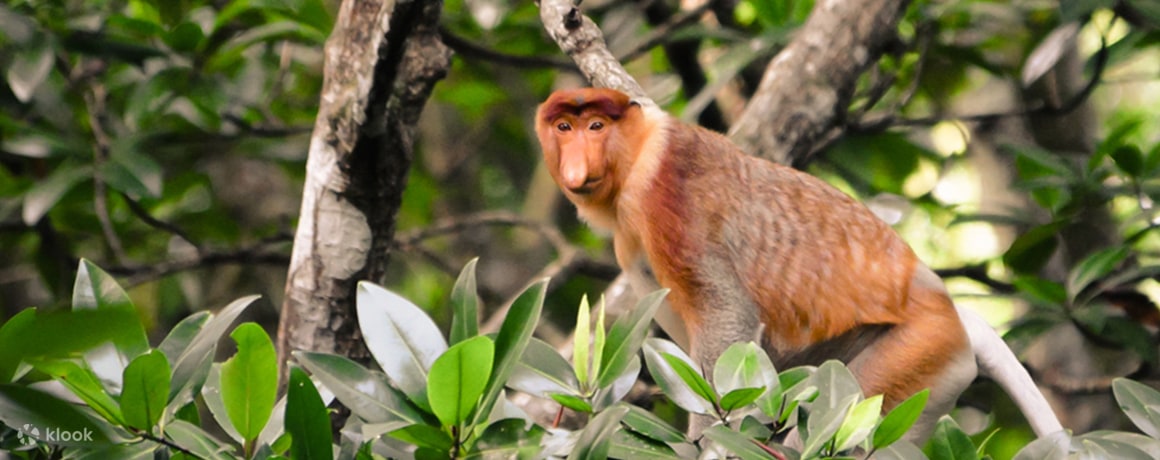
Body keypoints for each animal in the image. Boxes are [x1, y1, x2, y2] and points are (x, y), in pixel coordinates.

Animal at [535, 87, 1065, 444]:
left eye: (596, 126)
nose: (576, 166)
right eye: (564, 127)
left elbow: (727, 314)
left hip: (917, 357)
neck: (640, 153)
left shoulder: (667, 194)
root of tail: (947, 306)